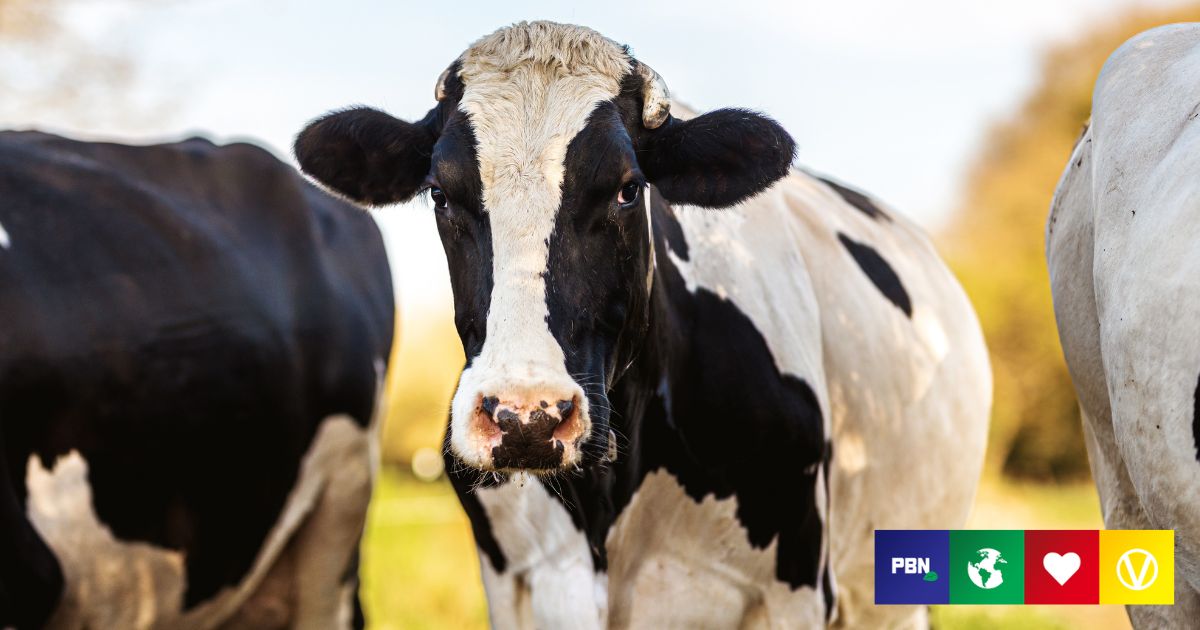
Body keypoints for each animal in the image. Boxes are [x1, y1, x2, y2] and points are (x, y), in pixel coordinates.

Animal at [296, 21, 991, 628]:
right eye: (440, 193)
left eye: (629, 189)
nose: (527, 416)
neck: (607, 498)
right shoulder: (514, 583)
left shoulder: (795, 588)